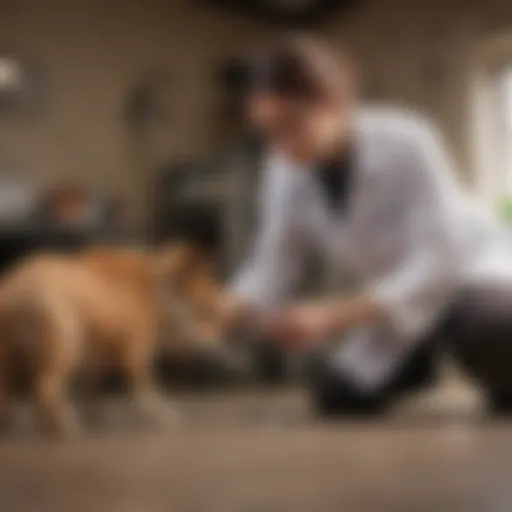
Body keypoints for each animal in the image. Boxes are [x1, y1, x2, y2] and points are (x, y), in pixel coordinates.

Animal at [0, 241, 220, 436]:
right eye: (206, 308)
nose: (222, 322)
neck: (160, 288)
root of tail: (15, 292)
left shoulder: (97, 351)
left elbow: (93, 385)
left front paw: (94, 416)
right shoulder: (135, 350)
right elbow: (144, 386)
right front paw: (160, 414)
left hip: (12, 356)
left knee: (8, 388)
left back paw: (12, 422)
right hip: (66, 345)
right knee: (45, 388)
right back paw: (63, 424)